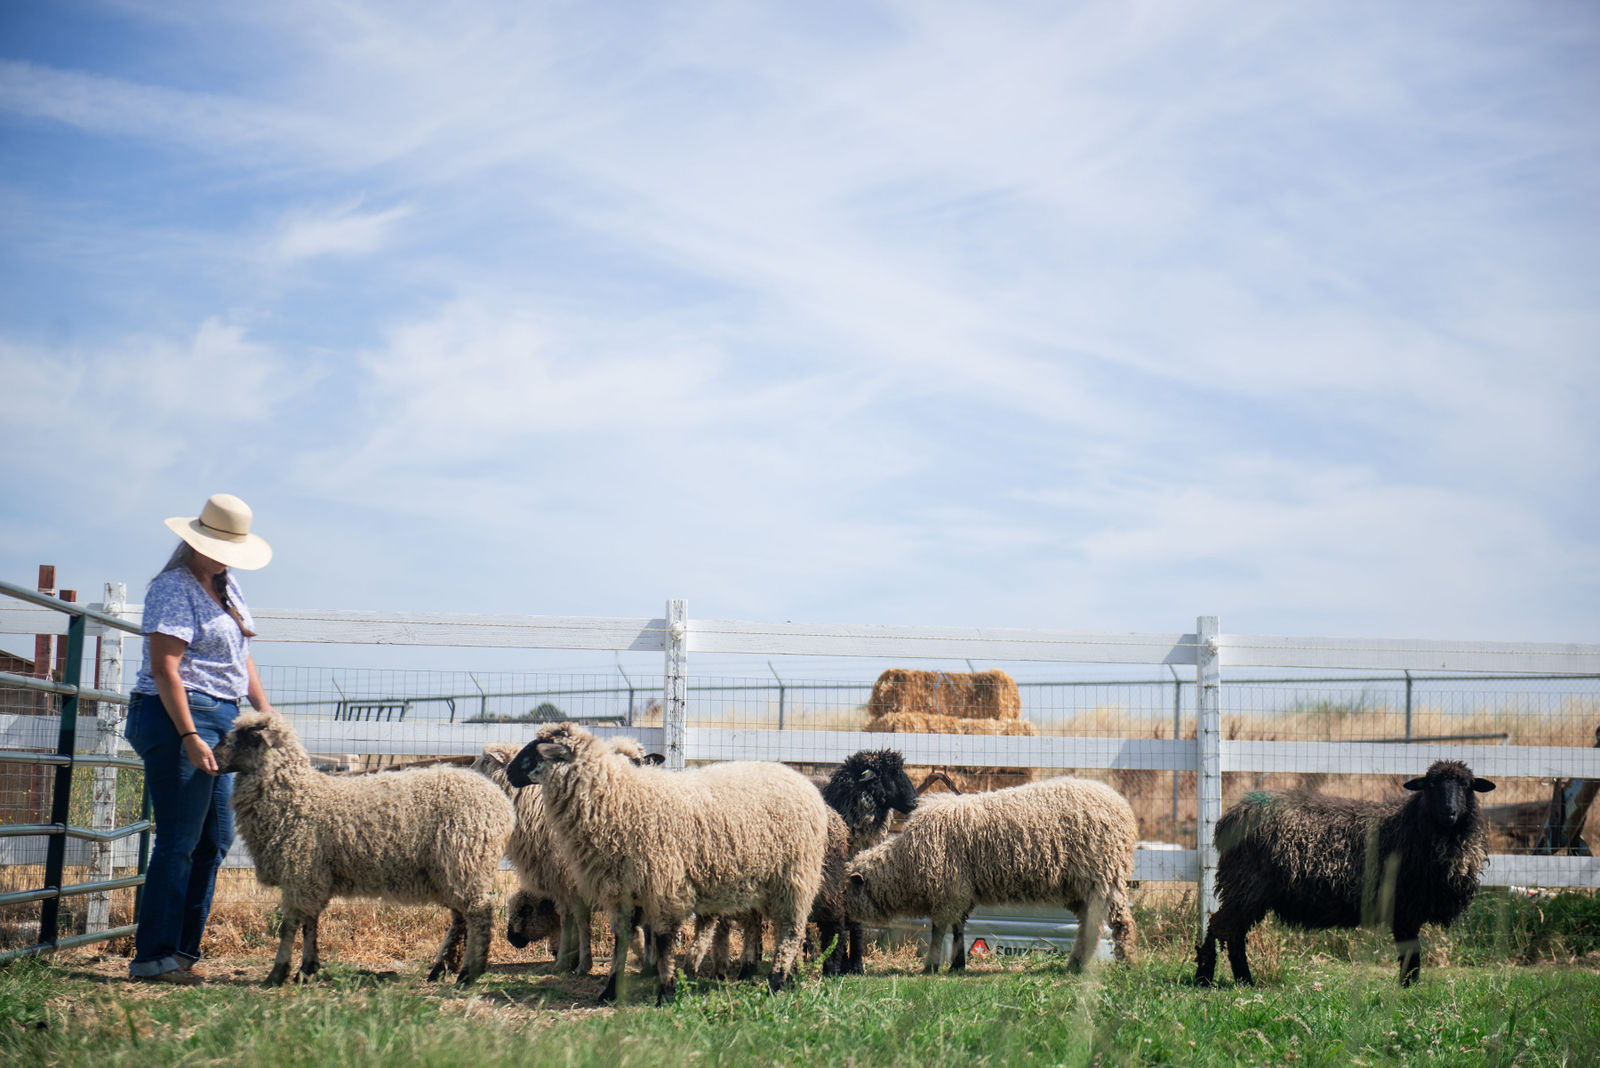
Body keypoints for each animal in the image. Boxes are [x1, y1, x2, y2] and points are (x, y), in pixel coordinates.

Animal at [215, 710, 515, 986]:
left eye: (248, 734)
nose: (213, 757)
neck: (297, 795)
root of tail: (502, 804)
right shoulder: (313, 876)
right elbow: (310, 923)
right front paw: (307, 968)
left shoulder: (299, 870)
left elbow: (289, 926)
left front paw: (278, 973)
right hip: (452, 869)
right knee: (462, 916)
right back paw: (442, 969)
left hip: (463, 860)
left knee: (480, 913)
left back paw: (469, 972)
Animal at [472, 737, 661, 975]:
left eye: (485, 761)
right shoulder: (560, 882)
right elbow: (567, 920)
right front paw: (567, 960)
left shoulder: (572, 881)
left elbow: (579, 920)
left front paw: (581, 964)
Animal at [506, 722, 830, 1004]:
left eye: (535, 752)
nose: (509, 773)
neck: (620, 800)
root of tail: (800, 779)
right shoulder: (622, 893)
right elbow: (621, 941)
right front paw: (610, 991)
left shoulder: (664, 886)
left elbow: (662, 943)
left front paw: (666, 992)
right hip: (764, 882)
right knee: (776, 927)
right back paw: (781, 978)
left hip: (795, 876)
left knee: (791, 930)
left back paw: (776, 981)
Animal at [845, 775, 1139, 973]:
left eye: (846, 892)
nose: (844, 921)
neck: (905, 860)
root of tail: (1123, 806)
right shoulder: (960, 891)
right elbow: (958, 928)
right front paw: (957, 965)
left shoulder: (949, 890)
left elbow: (939, 930)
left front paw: (931, 965)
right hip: (1080, 887)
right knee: (1090, 924)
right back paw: (1076, 963)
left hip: (1104, 874)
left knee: (1121, 922)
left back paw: (1127, 961)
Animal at [1195, 759, 1495, 987]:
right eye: (1431, 785)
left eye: (1466, 785)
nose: (1449, 812)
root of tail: (1232, 816)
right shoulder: (1405, 907)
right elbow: (1411, 953)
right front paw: (1408, 987)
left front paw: (1408, 986)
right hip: (1246, 884)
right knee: (1221, 927)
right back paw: (1208, 977)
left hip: (1246, 888)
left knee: (1231, 931)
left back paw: (1240, 980)